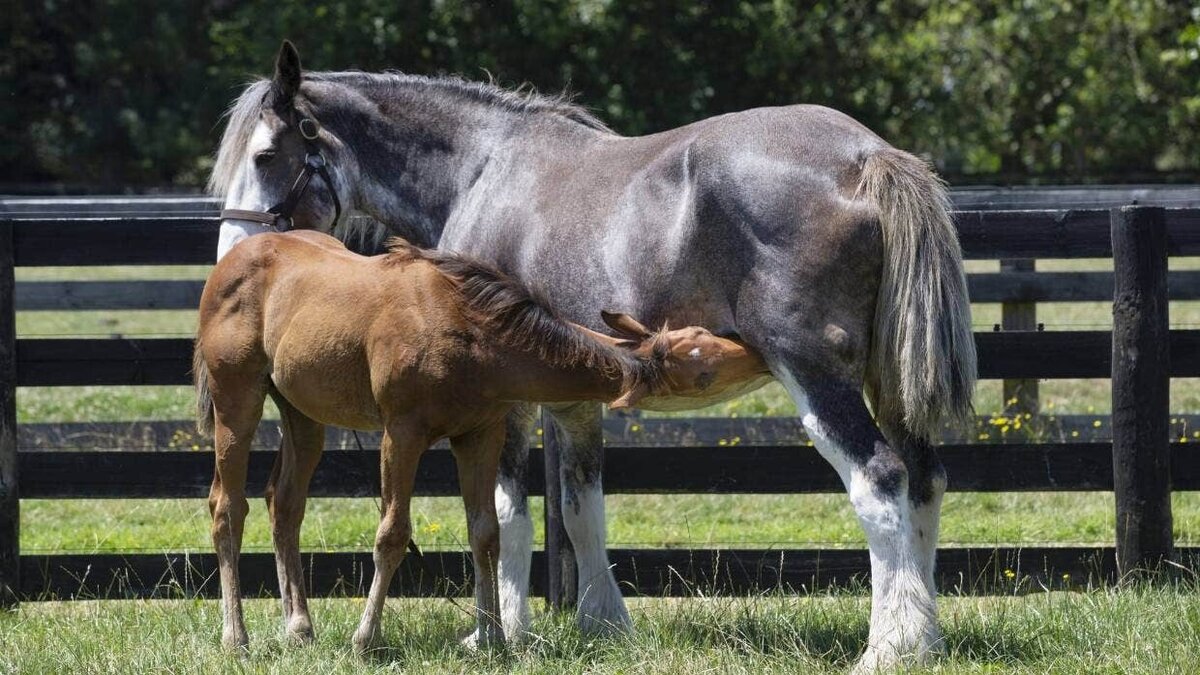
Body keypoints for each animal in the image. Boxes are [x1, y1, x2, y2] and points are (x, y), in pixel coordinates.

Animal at [193, 229, 768, 652]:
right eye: (703, 370)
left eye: (703, 337)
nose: (759, 352)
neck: (473, 333)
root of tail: (231, 260)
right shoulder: (402, 432)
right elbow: (392, 533)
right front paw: (366, 638)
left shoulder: (480, 434)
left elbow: (486, 531)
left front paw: (493, 638)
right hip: (236, 401)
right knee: (228, 506)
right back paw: (236, 636)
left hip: (303, 414)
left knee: (285, 503)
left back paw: (299, 627)